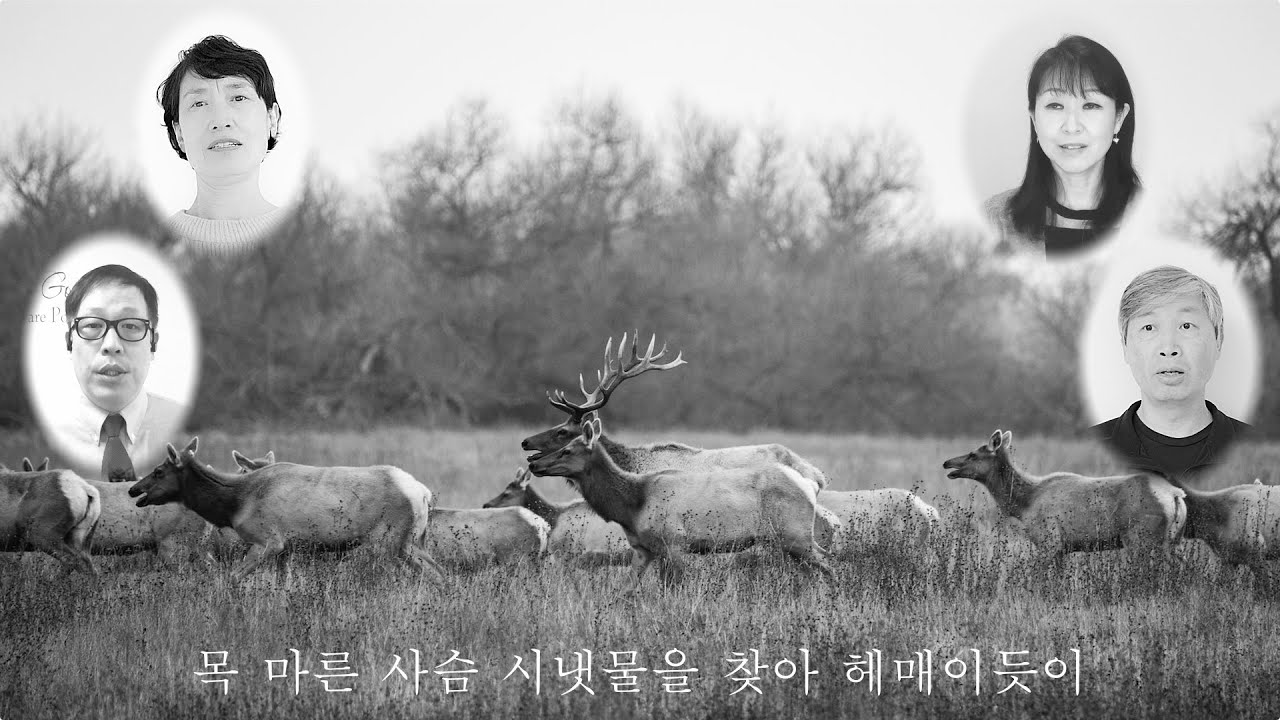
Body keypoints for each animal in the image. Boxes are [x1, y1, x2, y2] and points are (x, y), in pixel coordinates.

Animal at [128, 438, 445, 582]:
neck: (234, 505)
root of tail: (423, 493)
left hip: (390, 540)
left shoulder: (268, 540)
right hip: (411, 541)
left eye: (158, 471)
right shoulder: (287, 549)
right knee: (441, 571)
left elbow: (233, 578)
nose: (133, 490)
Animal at [529, 417, 834, 592]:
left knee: (829, 564)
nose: (533, 463)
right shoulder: (643, 549)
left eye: (566, 445)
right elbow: (625, 591)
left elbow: (675, 588)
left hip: (794, 534)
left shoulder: (674, 543)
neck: (631, 506)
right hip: (788, 540)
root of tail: (810, 482)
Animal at [942, 429, 1187, 575]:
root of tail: (1175, 495)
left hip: (1140, 537)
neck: (1023, 504)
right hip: (1171, 540)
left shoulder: (1049, 540)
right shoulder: (1062, 549)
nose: (946, 463)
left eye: (973, 454)